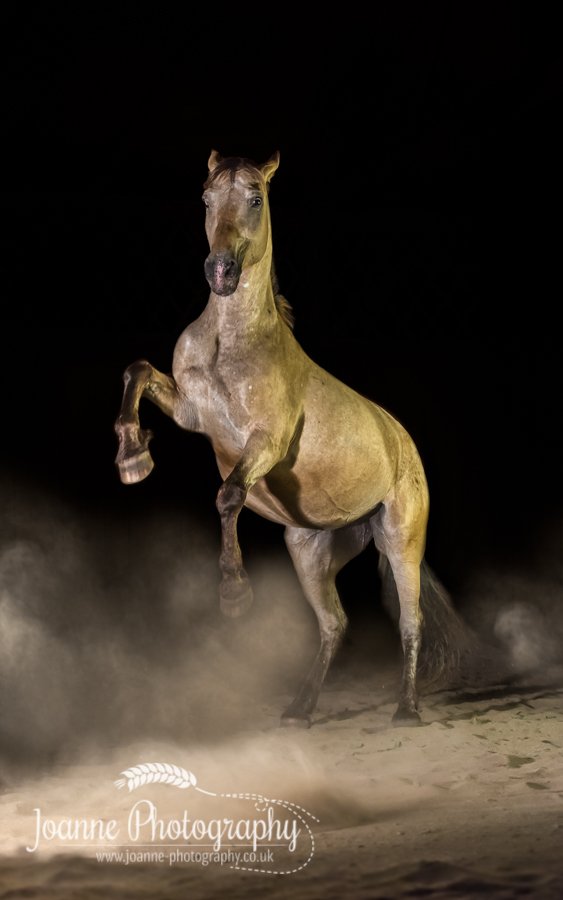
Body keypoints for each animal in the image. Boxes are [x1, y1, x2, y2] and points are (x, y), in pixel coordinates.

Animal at [114, 150, 472, 727]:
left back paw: (406, 709)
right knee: (334, 623)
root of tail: (403, 441)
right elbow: (138, 370)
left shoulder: (267, 443)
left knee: (410, 620)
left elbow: (228, 494)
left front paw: (234, 592)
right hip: (310, 549)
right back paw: (299, 709)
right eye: (206, 198)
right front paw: (133, 457)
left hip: (401, 540)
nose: (221, 272)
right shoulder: (192, 413)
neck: (231, 343)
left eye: (256, 197)